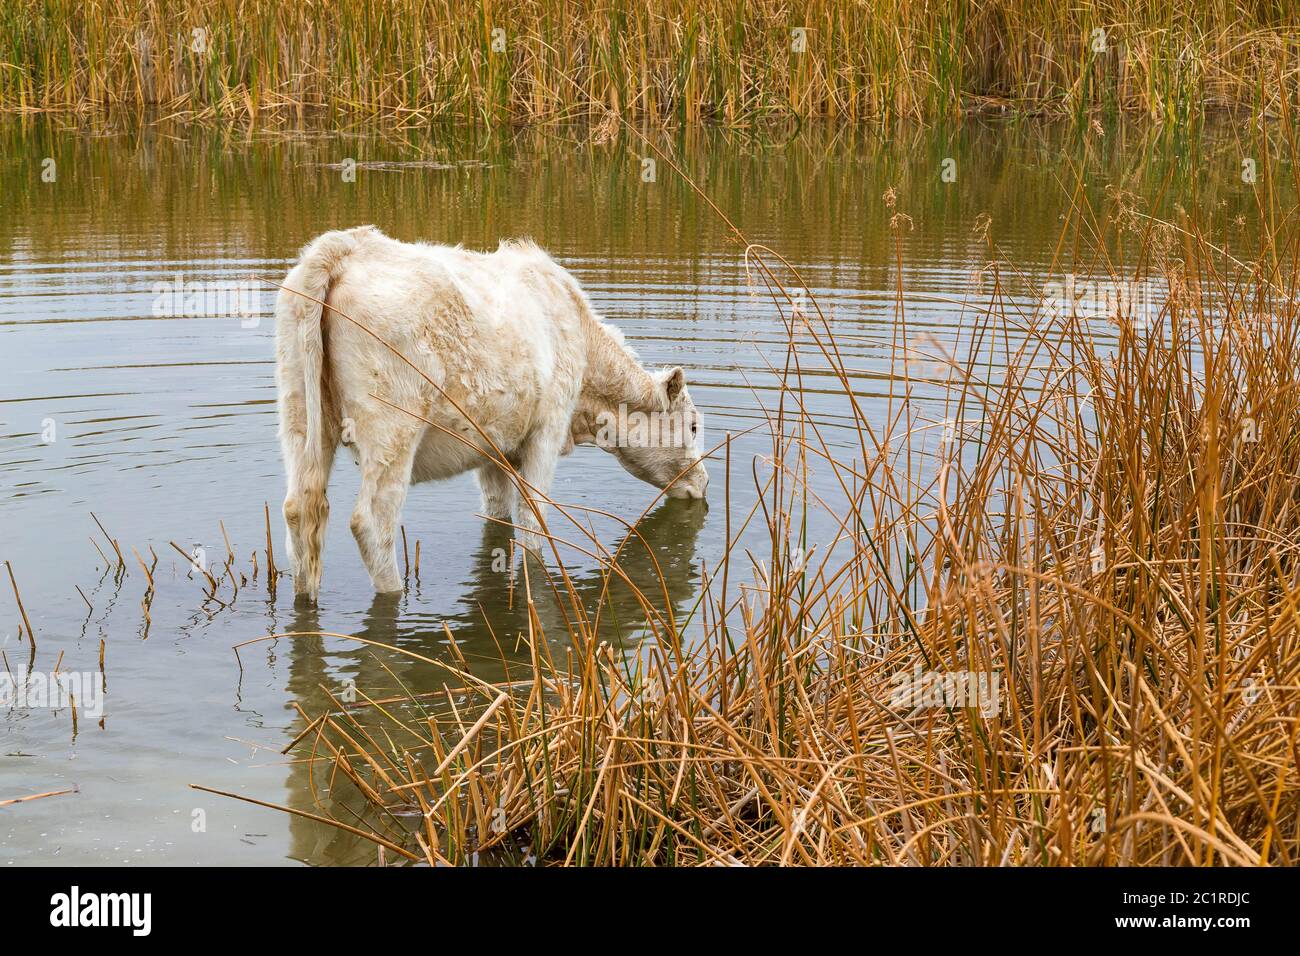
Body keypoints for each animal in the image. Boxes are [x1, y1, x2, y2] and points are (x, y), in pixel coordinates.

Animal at [275, 226, 708, 603]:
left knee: (301, 511)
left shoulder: (494, 445)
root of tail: (346, 246)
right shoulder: (547, 430)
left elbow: (498, 516)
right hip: (392, 428)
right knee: (371, 522)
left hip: (299, 414)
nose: (703, 483)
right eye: (692, 425)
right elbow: (532, 523)